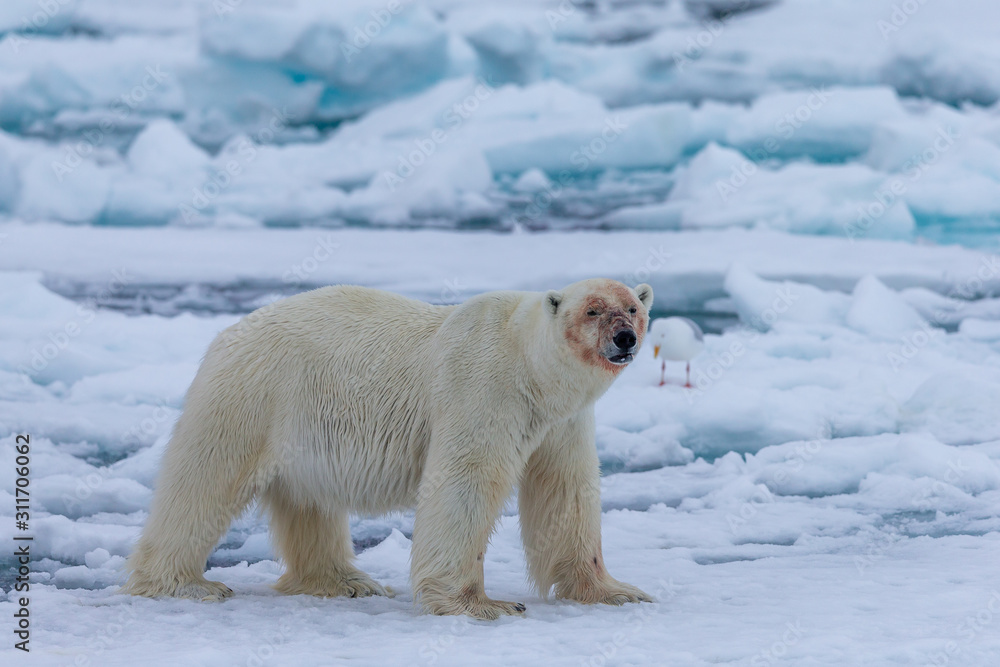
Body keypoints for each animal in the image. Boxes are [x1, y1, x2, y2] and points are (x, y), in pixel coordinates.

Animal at [124, 278, 654, 619]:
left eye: (632, 307)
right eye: (592, 310)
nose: (624, 338)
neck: (530, 367)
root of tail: (225, 334)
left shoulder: (561, 421)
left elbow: (565, 491)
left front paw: (617, 592)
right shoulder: (484, 388)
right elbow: (465, 481)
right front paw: (484, 604)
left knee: (308, 500)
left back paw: (347, 582)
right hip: (253, 395)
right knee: (205, 479)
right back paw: (187, 584)